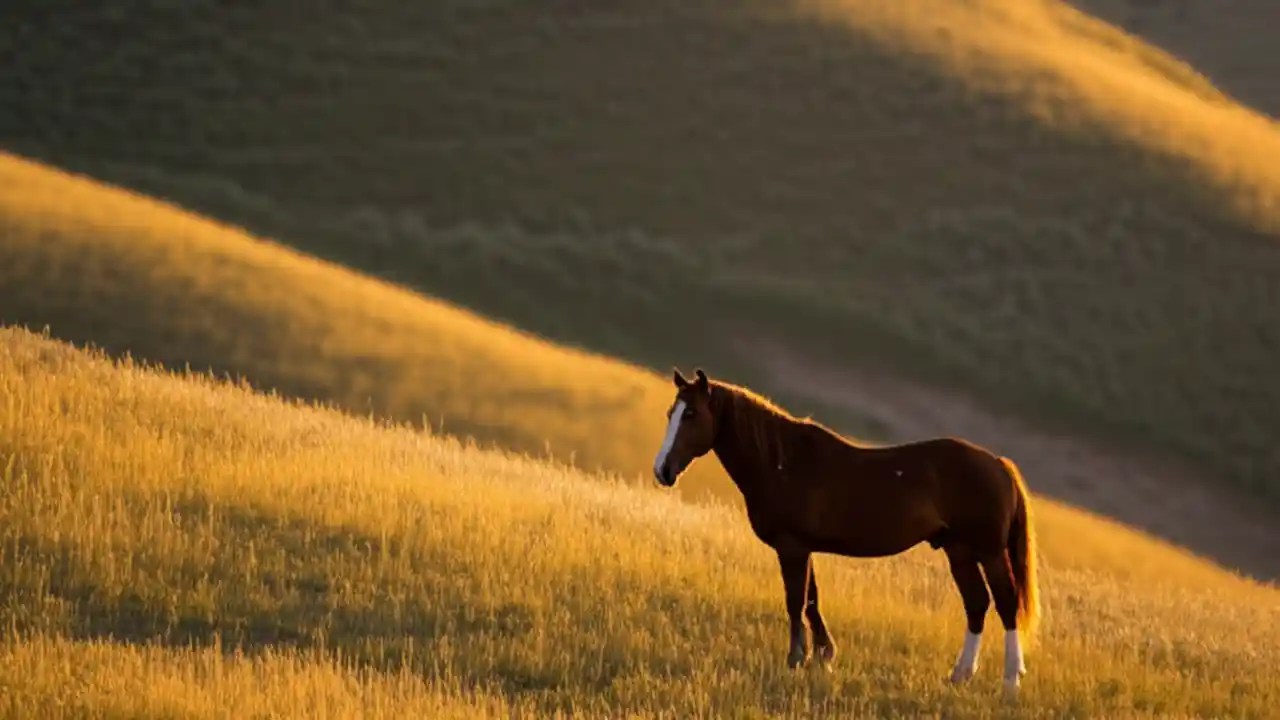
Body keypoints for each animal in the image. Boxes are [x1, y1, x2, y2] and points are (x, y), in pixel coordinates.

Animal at [652, 368, 1040, 692]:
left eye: (691, 414)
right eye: (671, 413)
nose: (662, 470)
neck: (782, 463)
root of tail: (999, 465)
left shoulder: (792, 547)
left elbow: (796, 601)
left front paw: (796, 659)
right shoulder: (804, 548)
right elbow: (812, 599)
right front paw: (823, 655)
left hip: (989, 552)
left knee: (1006, 603)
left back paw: (1010, 680)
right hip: (958, 550)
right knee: (977, 604)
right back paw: (960, 674)